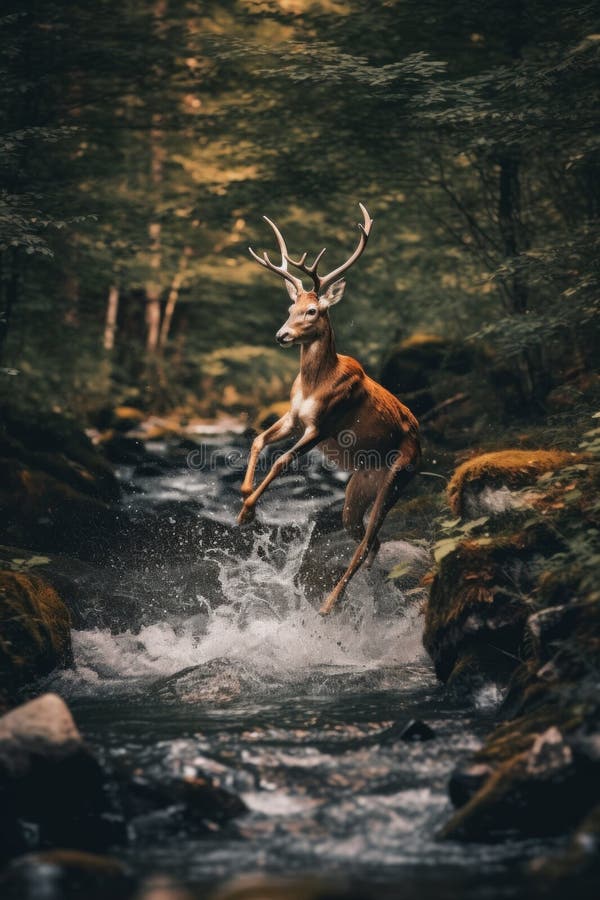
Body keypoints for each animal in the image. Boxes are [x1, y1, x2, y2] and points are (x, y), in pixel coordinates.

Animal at [238, 203, 420, 616]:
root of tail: (422, 447)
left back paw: (329, 606)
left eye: (312, 311)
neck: (314, 385)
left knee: (366, 541)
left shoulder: (324, 424)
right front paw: (243, 497)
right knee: (369, 540)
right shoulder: (294, 416)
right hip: (359, 486)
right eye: (290, 306)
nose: (282, 335)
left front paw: (247, 509)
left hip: (398, 477)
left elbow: (282, 460)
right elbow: (258, 440)